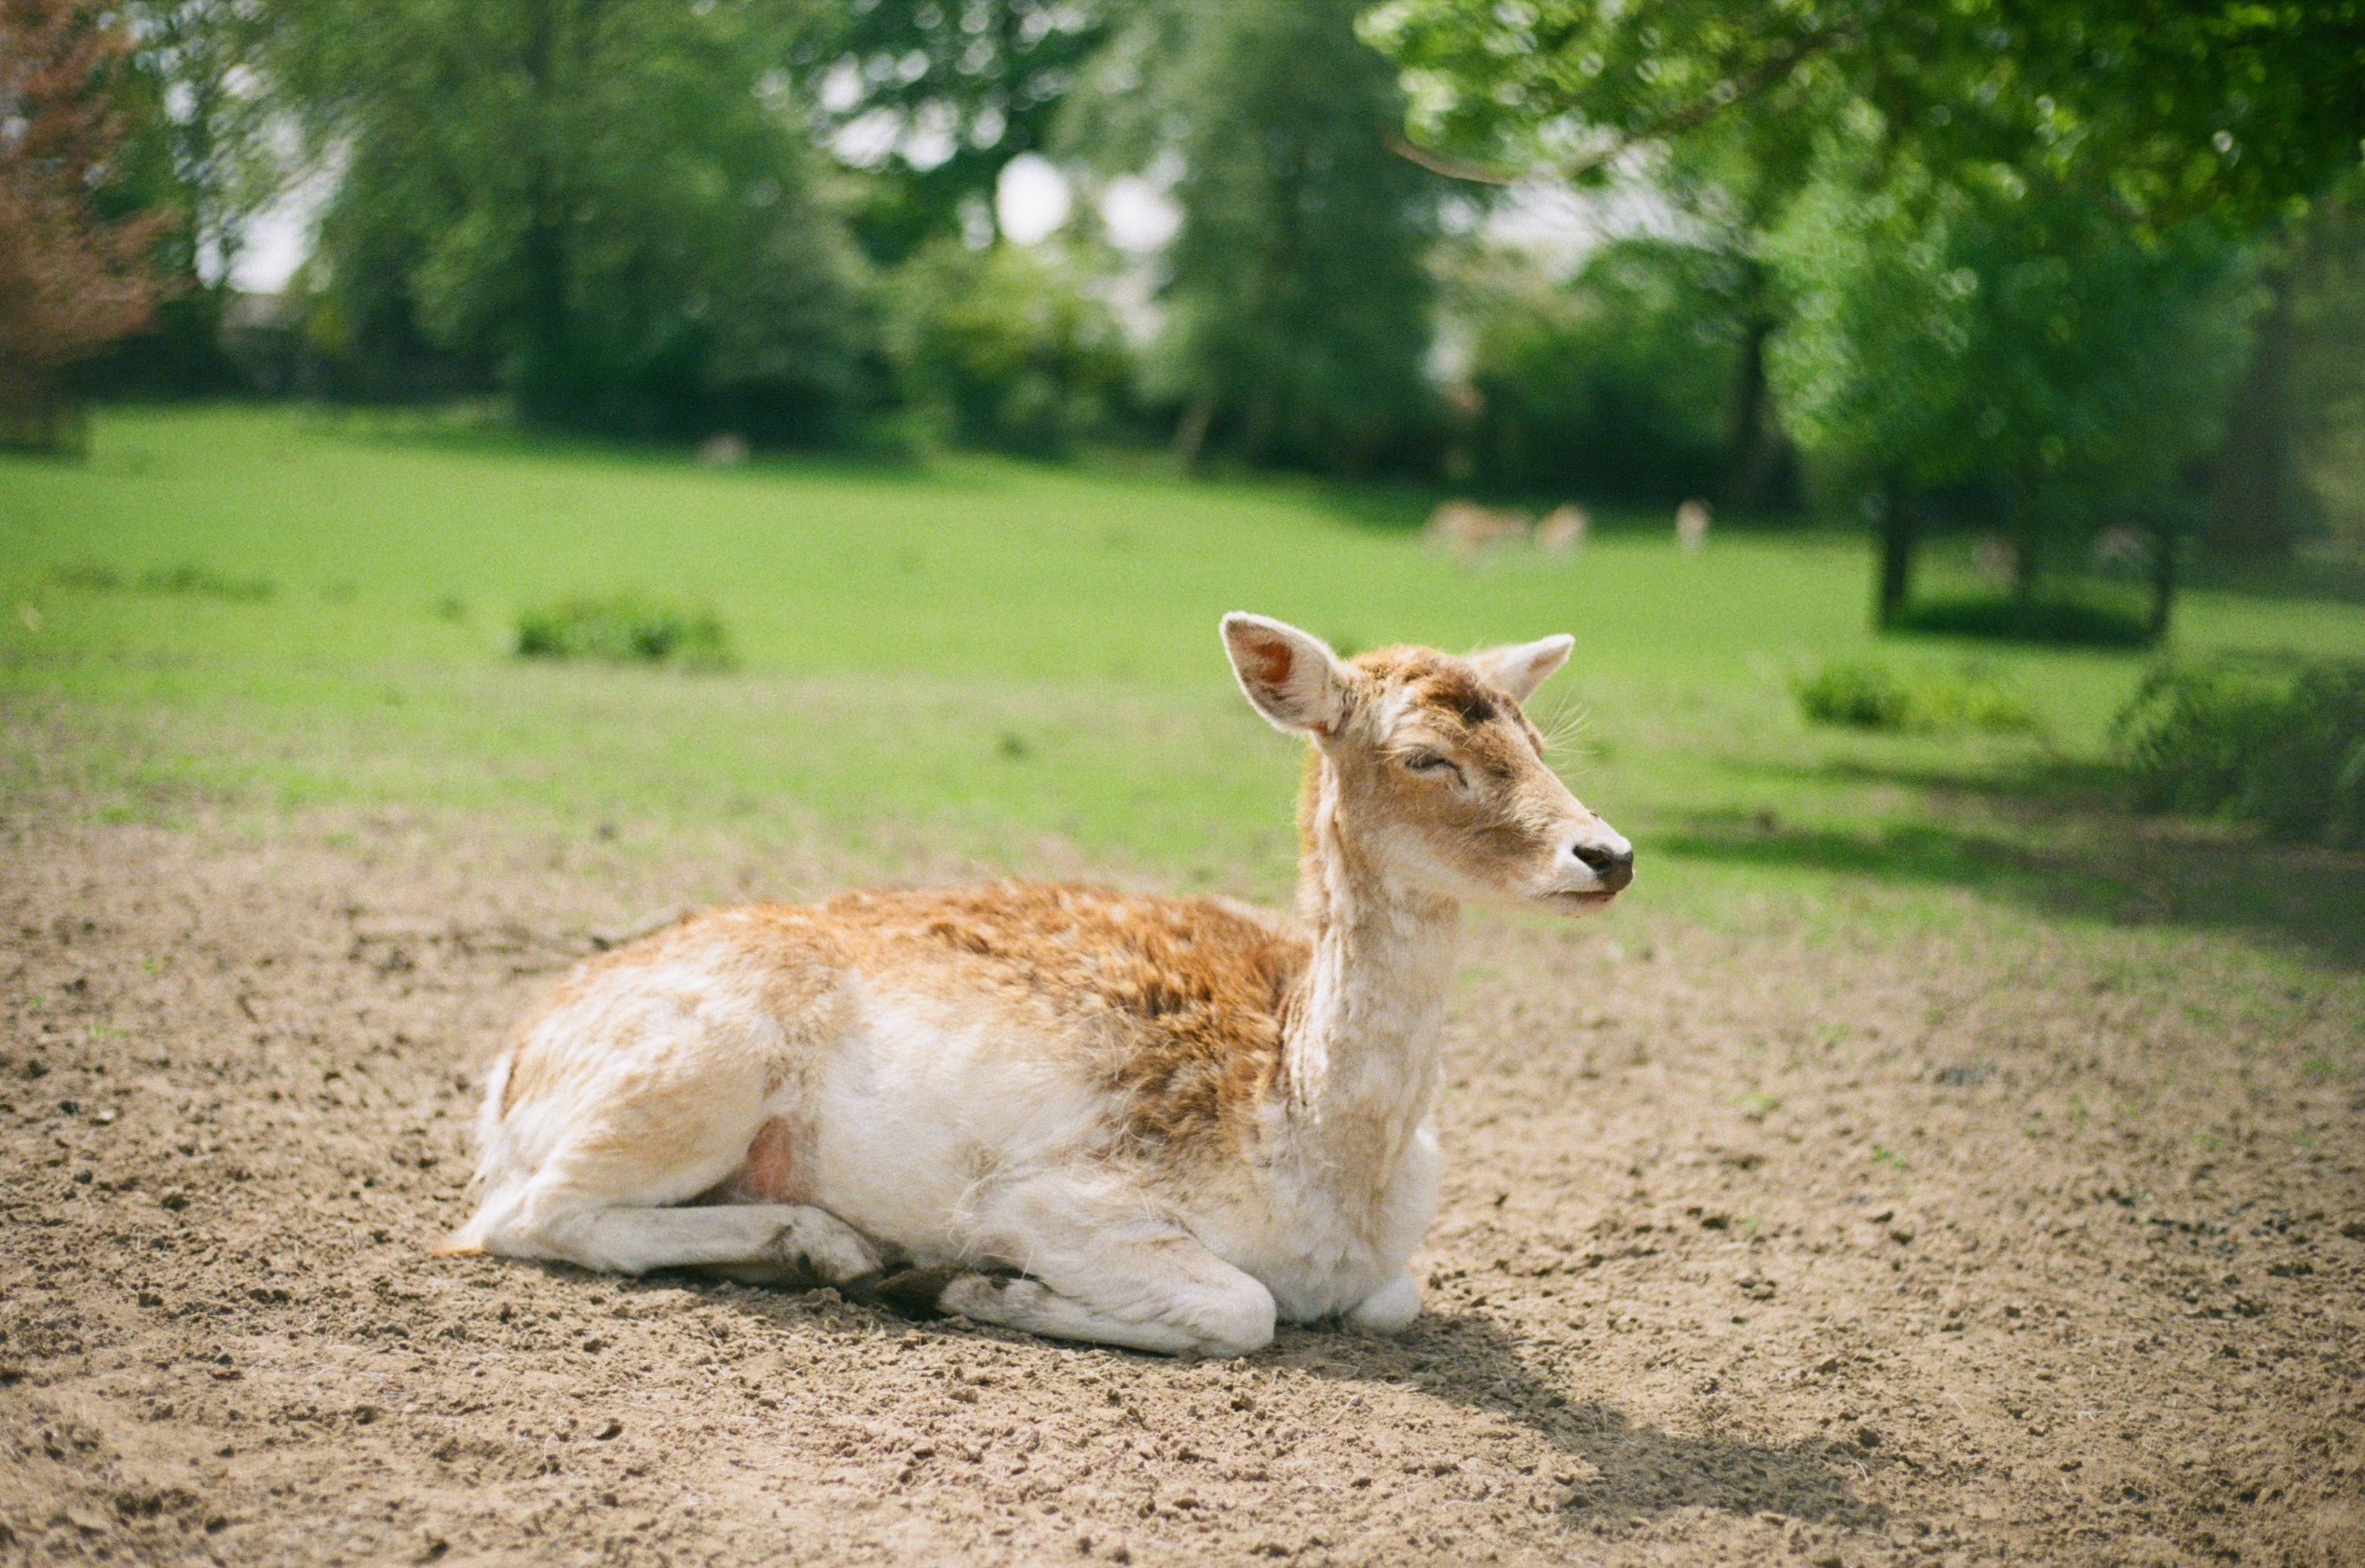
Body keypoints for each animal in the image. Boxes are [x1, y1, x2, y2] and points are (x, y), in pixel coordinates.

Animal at [440, 614, 1634, 1357]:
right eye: (1426, 755)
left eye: (1534, 735)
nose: (1608, 852)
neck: (1315, 1154)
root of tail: (509, 1069)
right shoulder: (1048, 1192)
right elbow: (1240, 1305)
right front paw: (969, 1283)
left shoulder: (1388, 1269)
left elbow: (1398, 1295)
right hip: (698, 1072)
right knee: (525, 1213)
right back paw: (839, 1248)